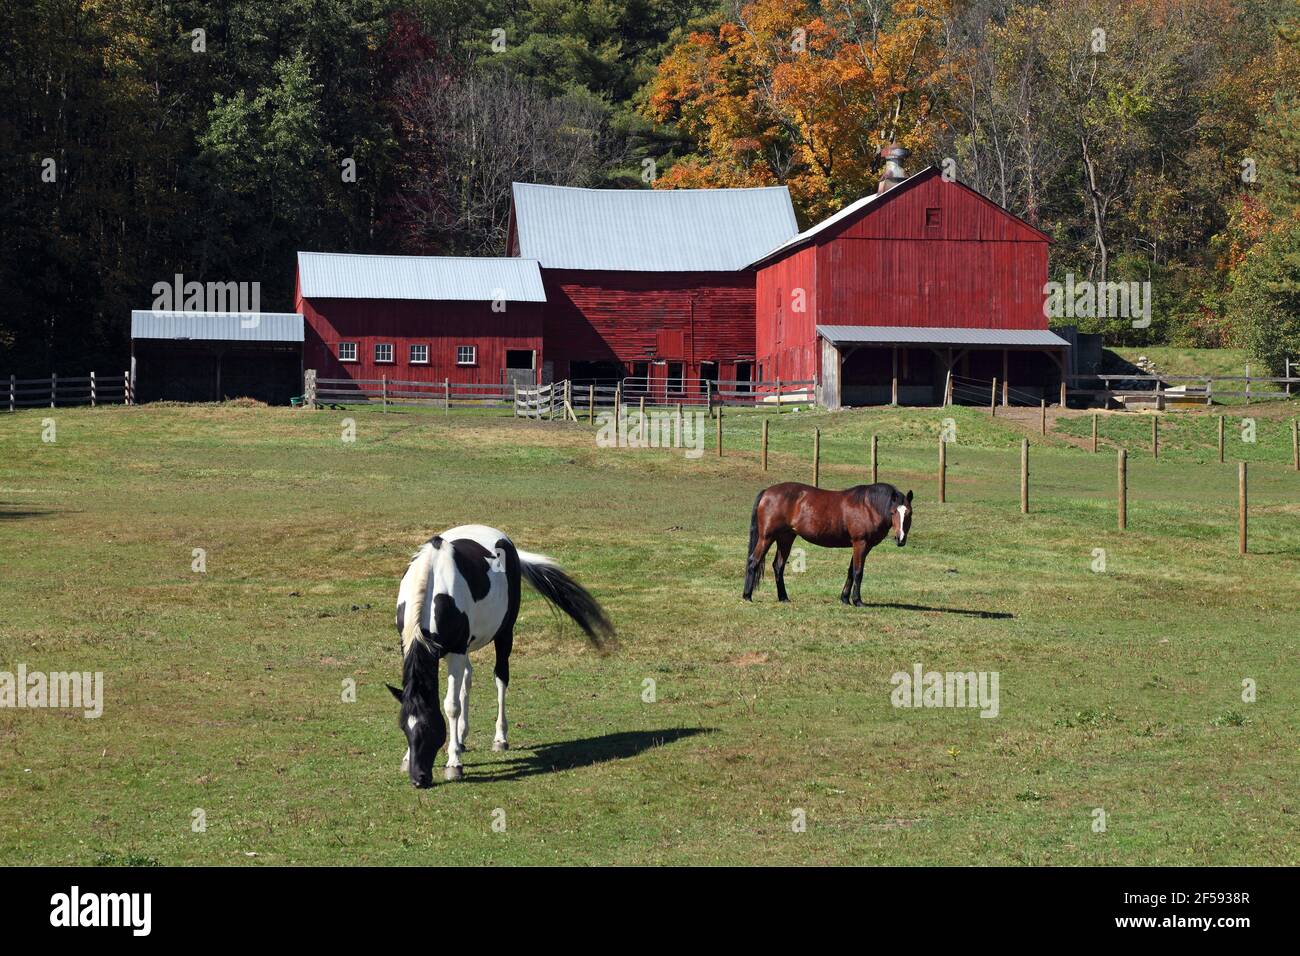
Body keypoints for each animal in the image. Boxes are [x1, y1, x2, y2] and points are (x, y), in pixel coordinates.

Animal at [388, 524, 614, 787]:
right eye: (404, 728)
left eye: (431, 728)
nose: (419, 779)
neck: (434, 581)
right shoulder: (411, 645)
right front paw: (408, 758)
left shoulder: (456, 650)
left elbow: (451, 706)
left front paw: (454, 763)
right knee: (467, 679)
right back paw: (462, 738)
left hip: (504, 634)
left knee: (500, 679)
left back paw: (499, 738)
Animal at [743, 482, 913, 605]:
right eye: (893, 512)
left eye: (909, 513)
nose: (900, 538)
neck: (868, 507)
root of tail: (767, 492)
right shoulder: (861, 544)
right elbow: (858, 572)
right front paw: (857, 600)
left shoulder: (860, 546)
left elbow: (851, 571)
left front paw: (845, 599)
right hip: (767, 537)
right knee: (754, 561)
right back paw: (747, 596)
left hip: (786, 538)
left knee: (778, 566)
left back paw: (783, 597)